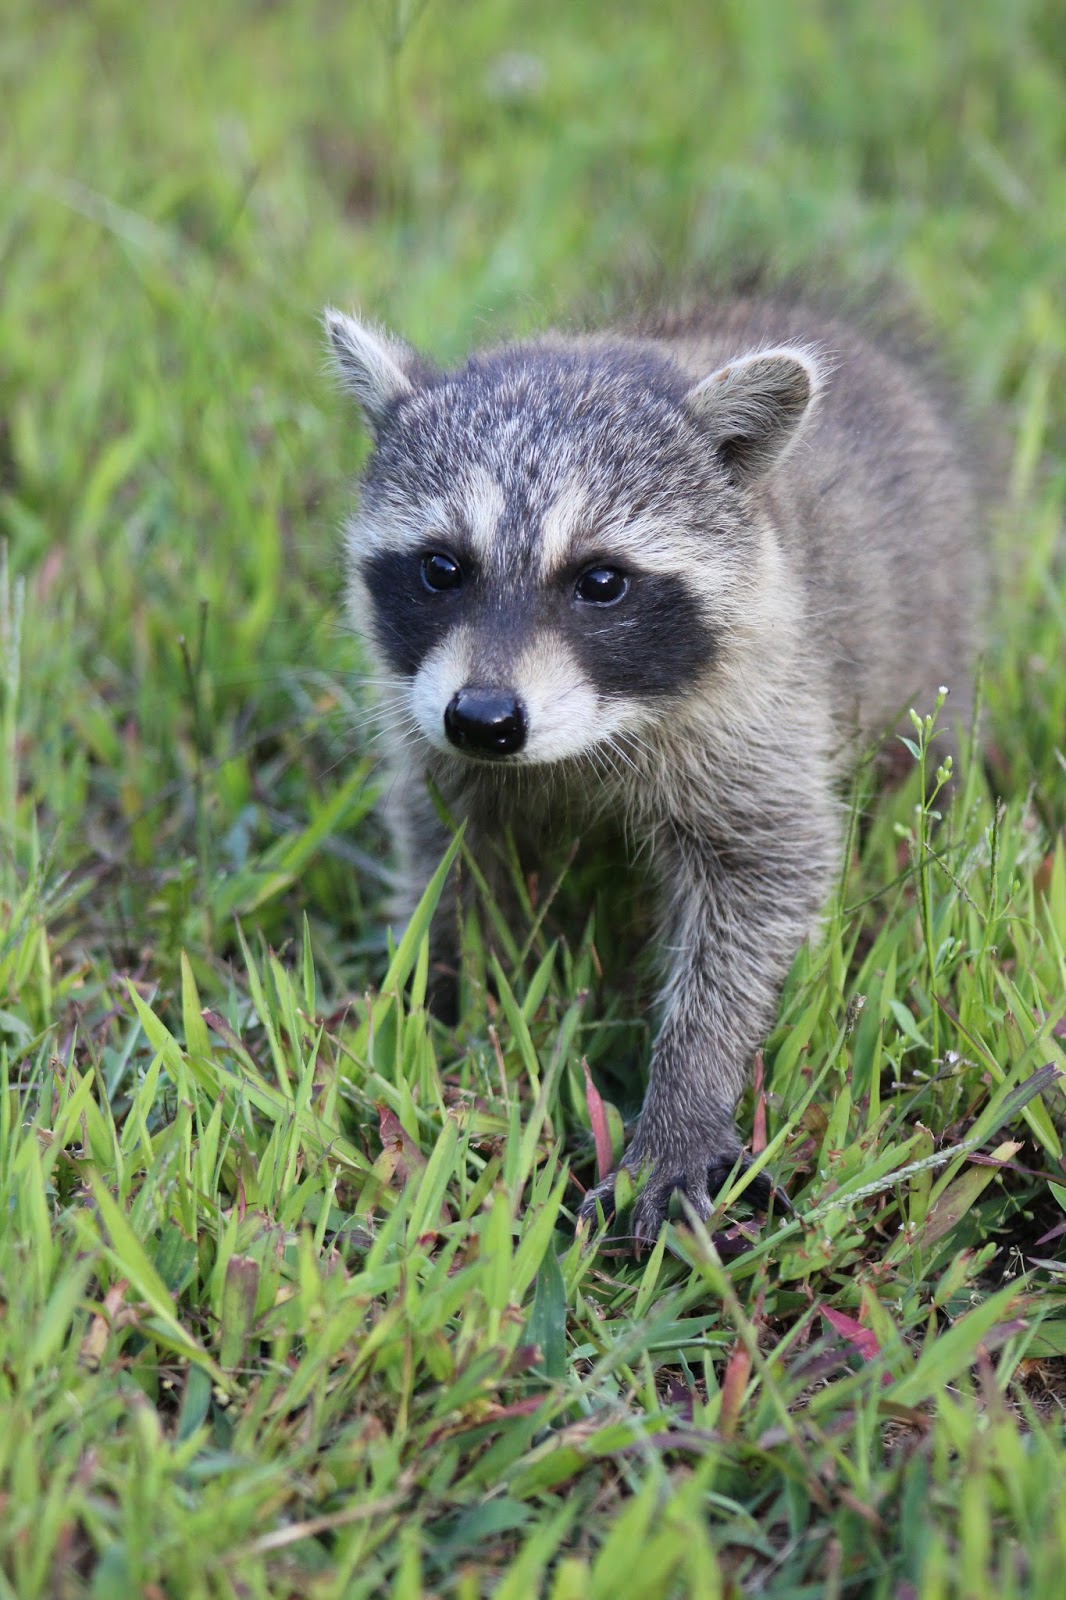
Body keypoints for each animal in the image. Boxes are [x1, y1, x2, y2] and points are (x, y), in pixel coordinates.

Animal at [325, 296, 983, 1240]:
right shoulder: (429, 730)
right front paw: (439, 982)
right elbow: (449, 847)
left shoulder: (762, 711)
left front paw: (687, 1093)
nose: (484, 721)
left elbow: (764, 880)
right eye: (441, 568)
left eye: (602, 581)